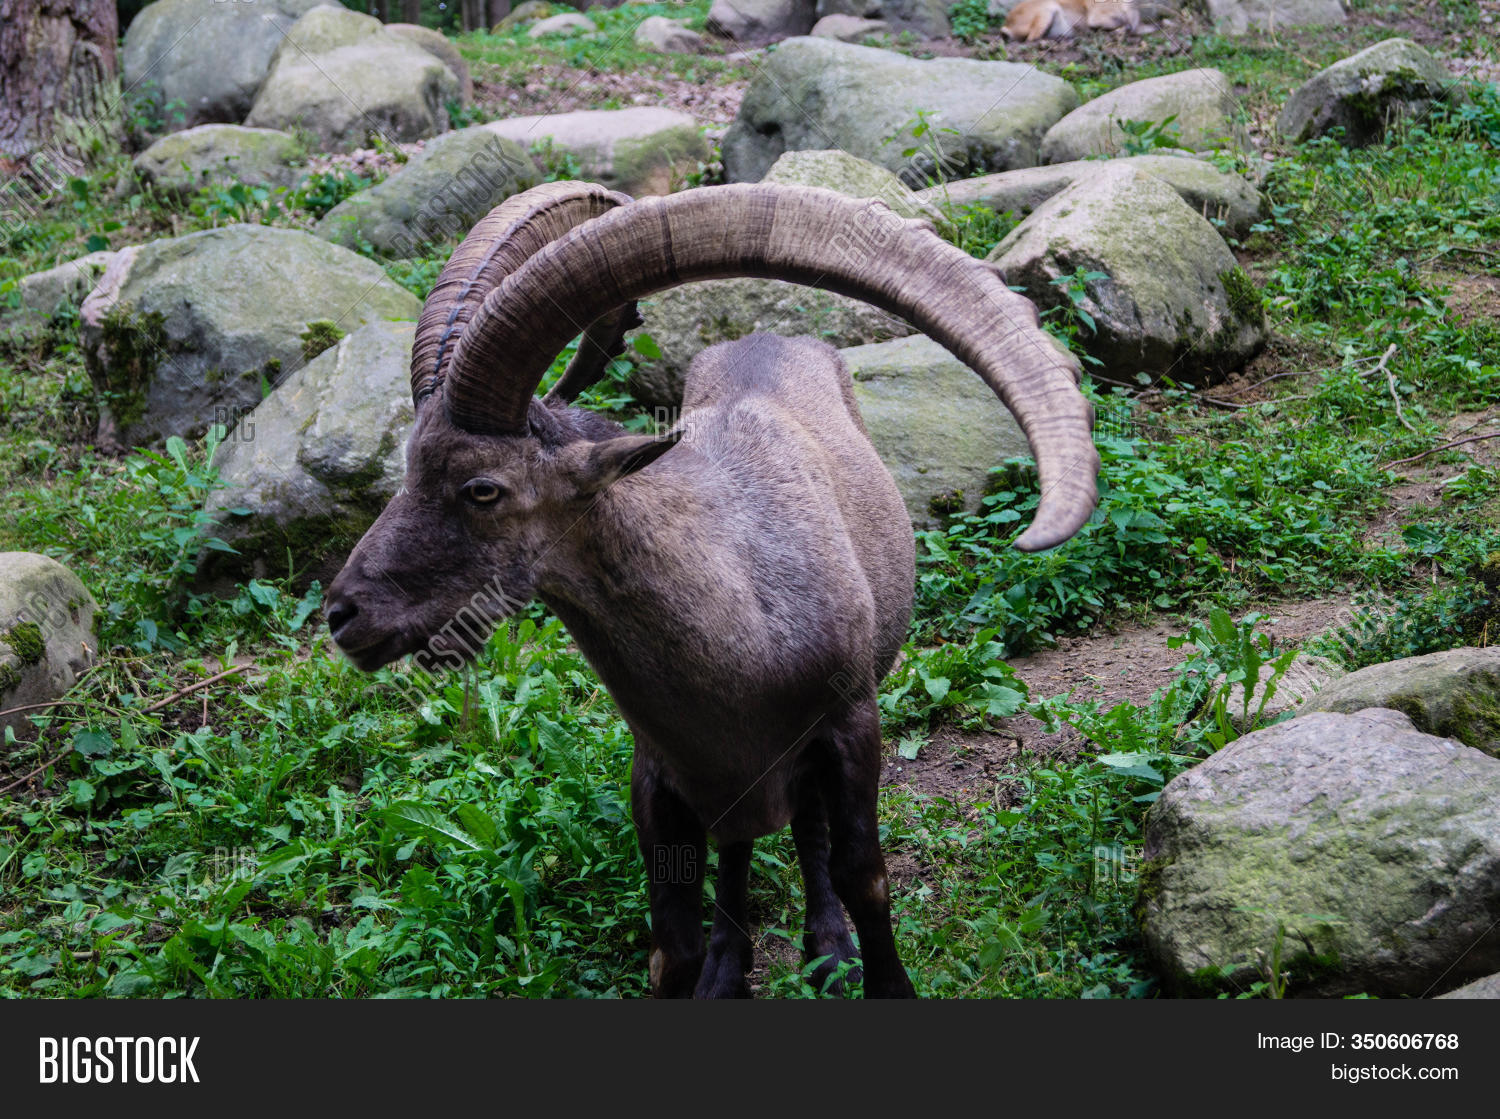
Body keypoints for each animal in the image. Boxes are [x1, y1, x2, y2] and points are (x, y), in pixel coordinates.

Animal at [323, 182, 1100, 998]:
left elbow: (864, 876)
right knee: (741, 850)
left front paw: (879, 976)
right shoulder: (664, 777)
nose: (344, 614)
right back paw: (734, 966)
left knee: (805, 830)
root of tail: (770, 339)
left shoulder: (849, 725)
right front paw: (713, 967)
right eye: (408, 465)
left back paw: (827, 947)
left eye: (482, 488)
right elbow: (676, 938)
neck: (738, 638)